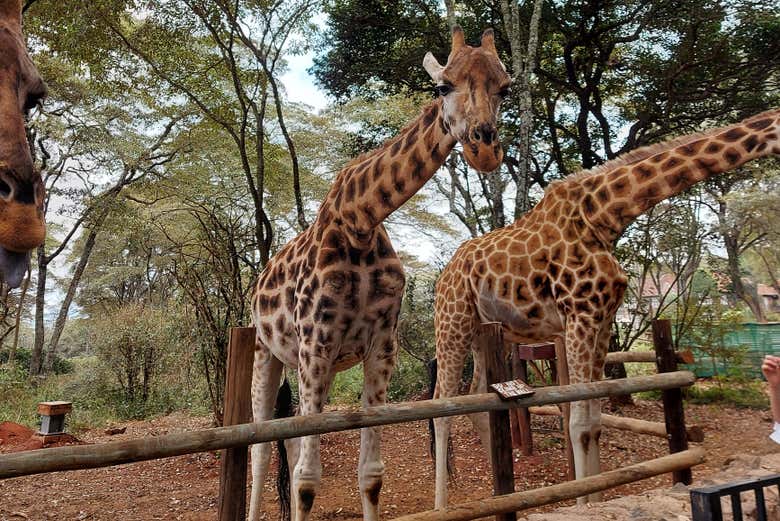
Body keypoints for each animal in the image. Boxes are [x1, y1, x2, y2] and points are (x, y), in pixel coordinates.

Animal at [248, 27, 511, 521]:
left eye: (505, 88)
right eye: (442, 86)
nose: (485, 147)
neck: (360, 221)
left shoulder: (380, 344)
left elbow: (370, 475)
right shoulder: (316, 341)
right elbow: (307, 480)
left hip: (310, 364)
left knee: (286, 445)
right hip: (267, 351)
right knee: (259, 449)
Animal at [432, 108, 780, 507]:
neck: (604, 217)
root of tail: (442, 278)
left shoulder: (602, 319)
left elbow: (594, 424)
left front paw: (594, 498)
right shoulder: (580, 317)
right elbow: (578, 422)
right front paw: (582, 501)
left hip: (483, 332)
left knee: (474, 398)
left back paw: (498, 495)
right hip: (451, 325)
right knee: (441, 409)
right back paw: (443, 505)